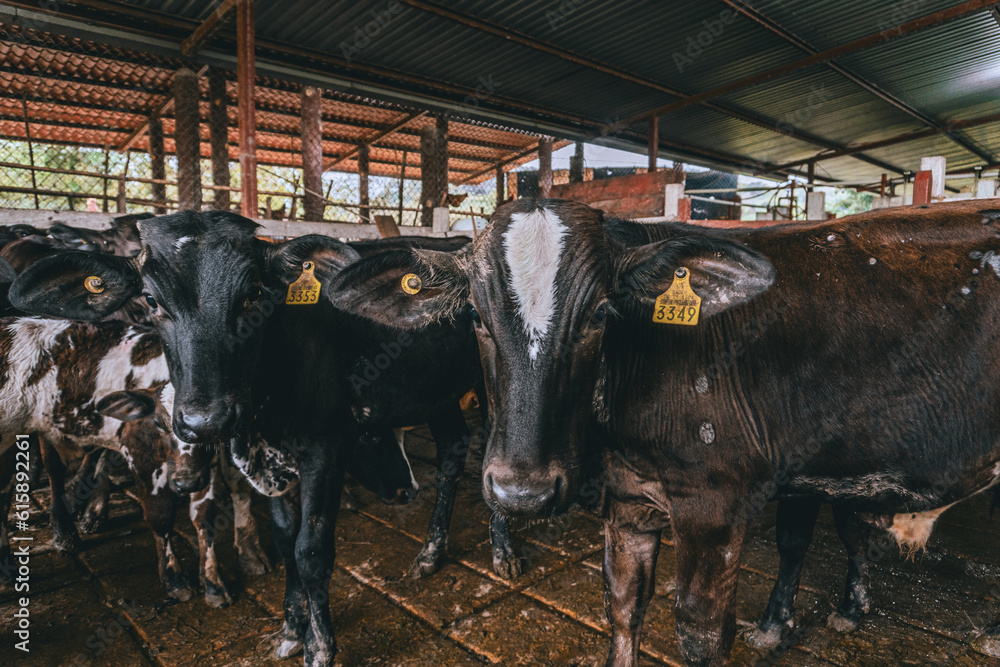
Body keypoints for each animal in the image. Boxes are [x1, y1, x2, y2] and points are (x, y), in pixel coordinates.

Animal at [8, 211, 511, 666]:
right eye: (150, 299)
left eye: (254, 294)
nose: (205, 418)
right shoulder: (272, 457)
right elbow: (286, 540)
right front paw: (291, 629)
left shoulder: (327, 448)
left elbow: (310, 549)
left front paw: (320, 647)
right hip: (436, 393)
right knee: (452, 453)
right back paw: (430, 552)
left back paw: (501, 548)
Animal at [314, 197, 1000, 666]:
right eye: (476, 317)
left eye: (599, 314)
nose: (522, 493)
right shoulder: (627, 501)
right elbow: (623, 610)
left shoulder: (715, 506)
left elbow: (700, 633)